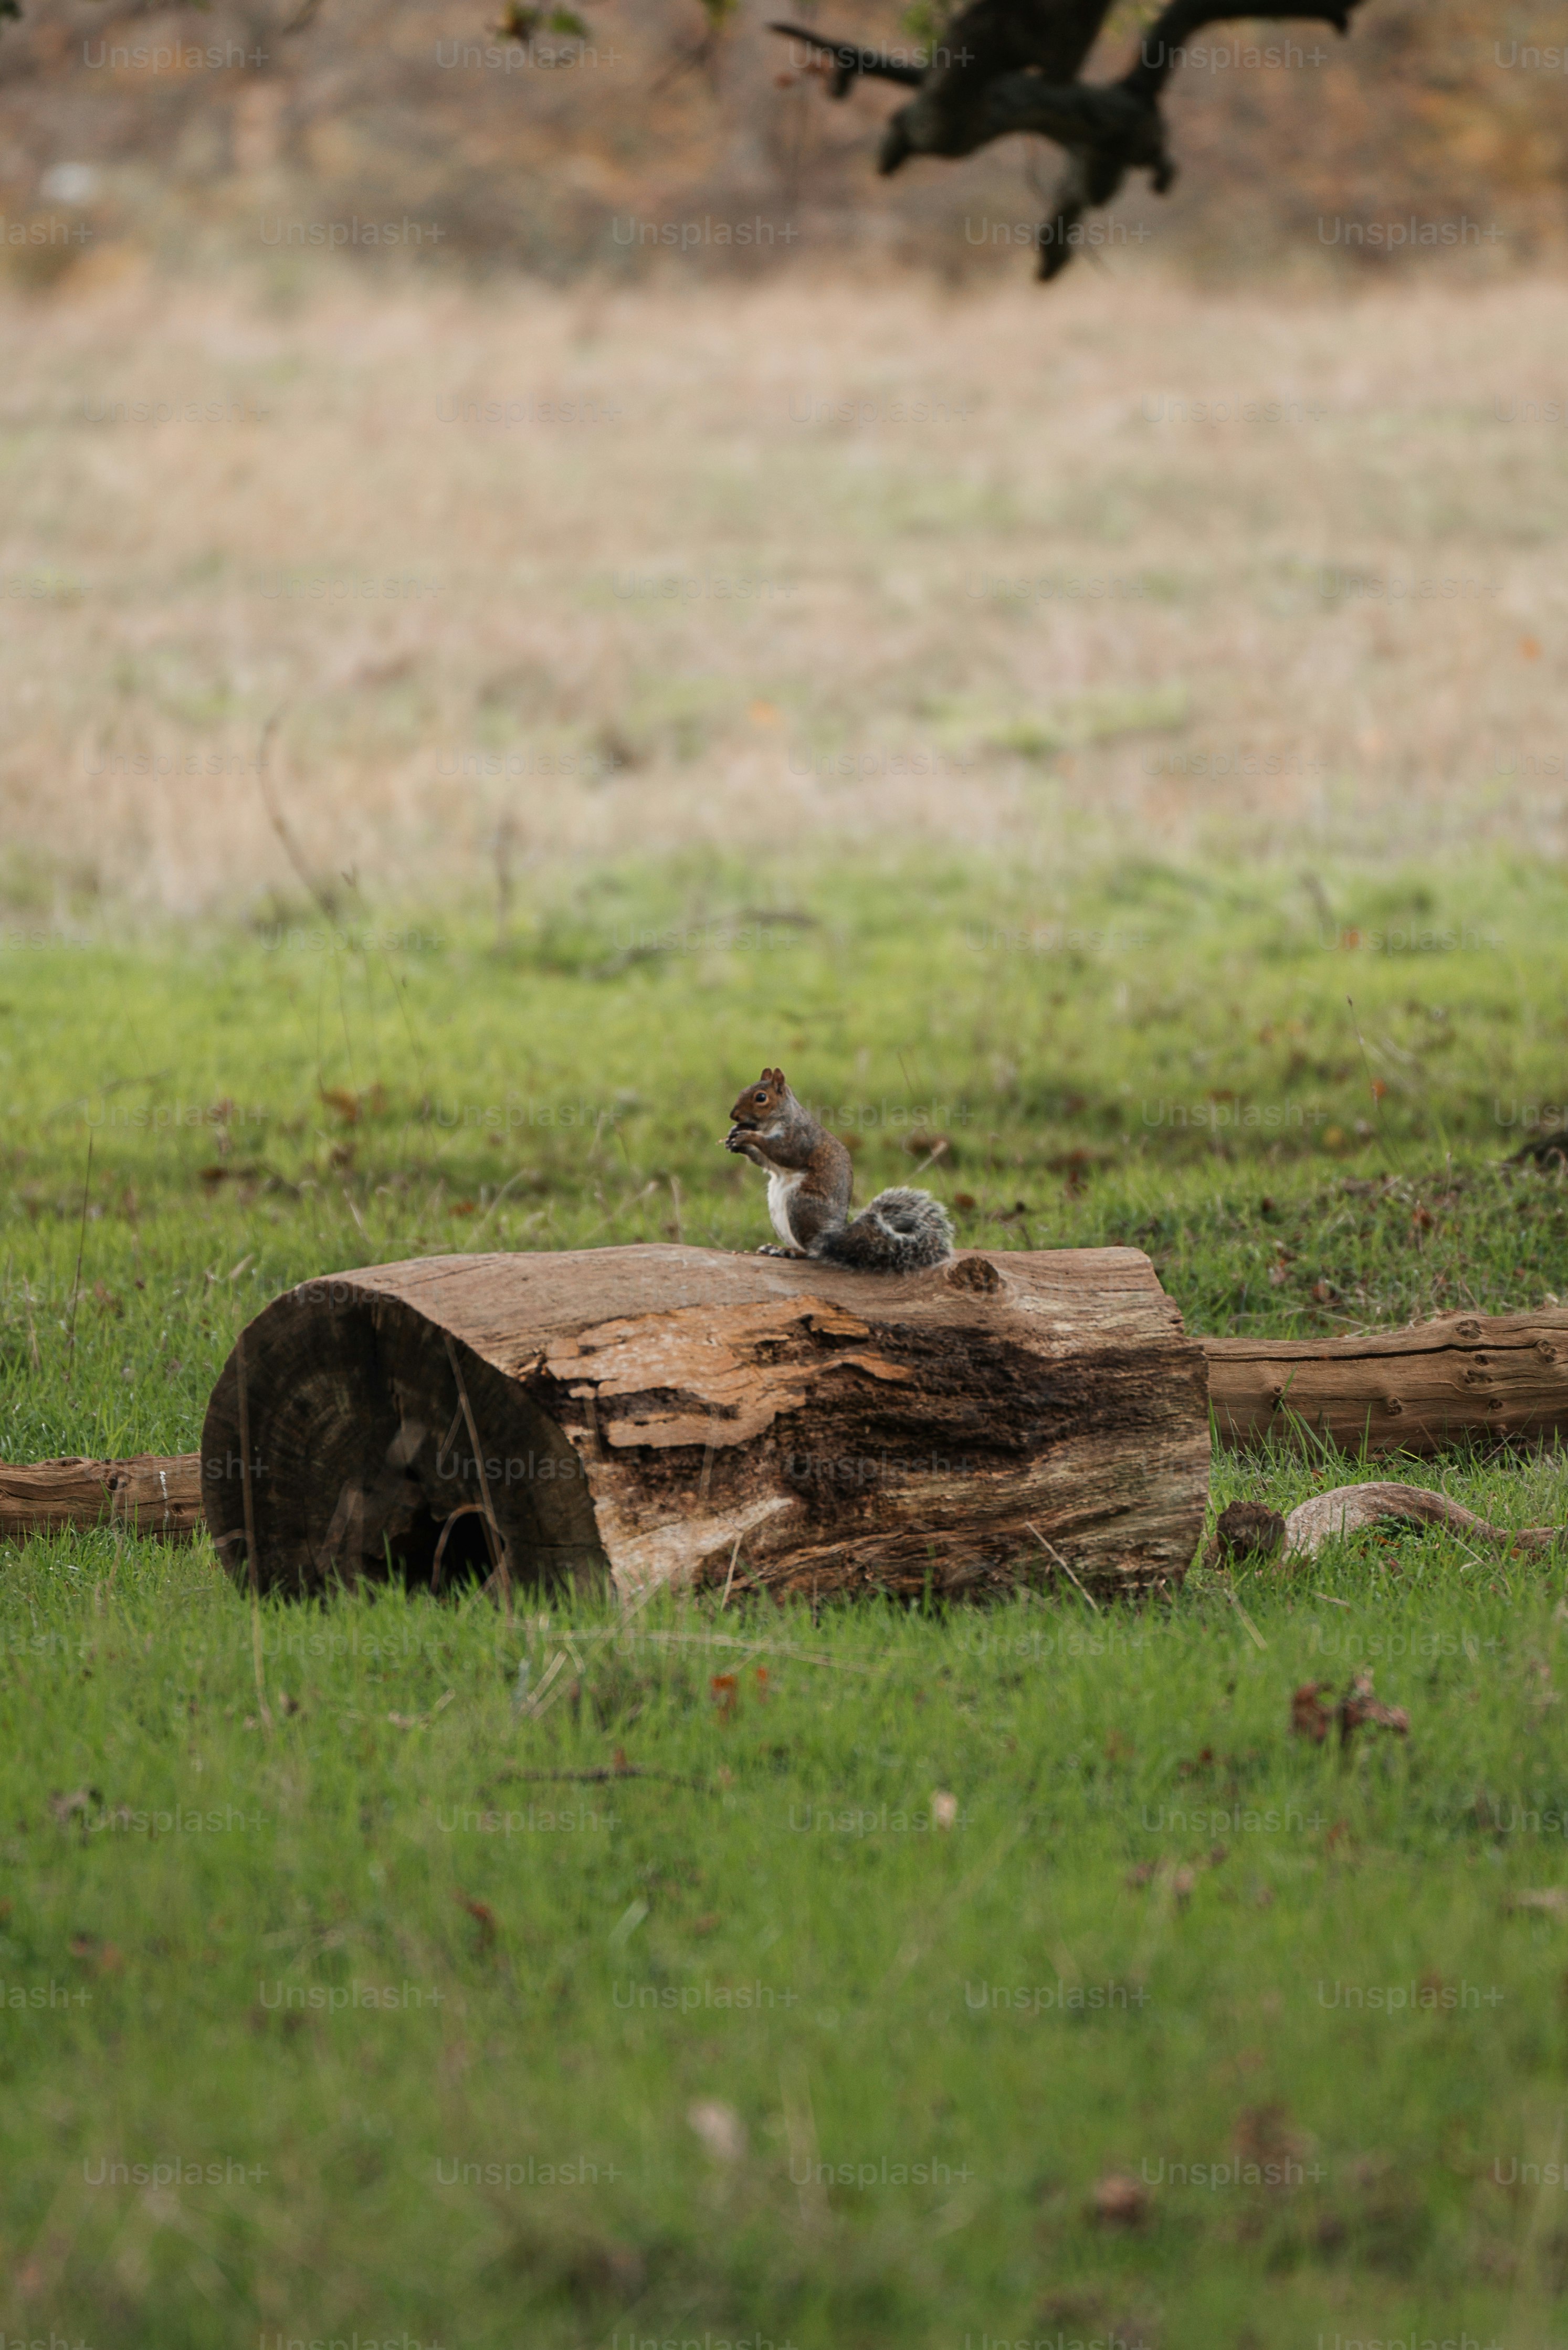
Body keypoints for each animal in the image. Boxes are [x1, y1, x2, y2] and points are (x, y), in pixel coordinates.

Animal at [724, 1066, 954, 1272]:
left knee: (812, 1251)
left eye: (761, 1097)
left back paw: (792, 1252)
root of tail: (832, 1236)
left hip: (800, 1206)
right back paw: (778, 1248)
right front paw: (735, 1141)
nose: (734, 1116)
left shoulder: (800, 1138)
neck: (772, 1123)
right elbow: (766, 1161)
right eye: (743, 1090)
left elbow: (783, 1152)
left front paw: (748, 1137)